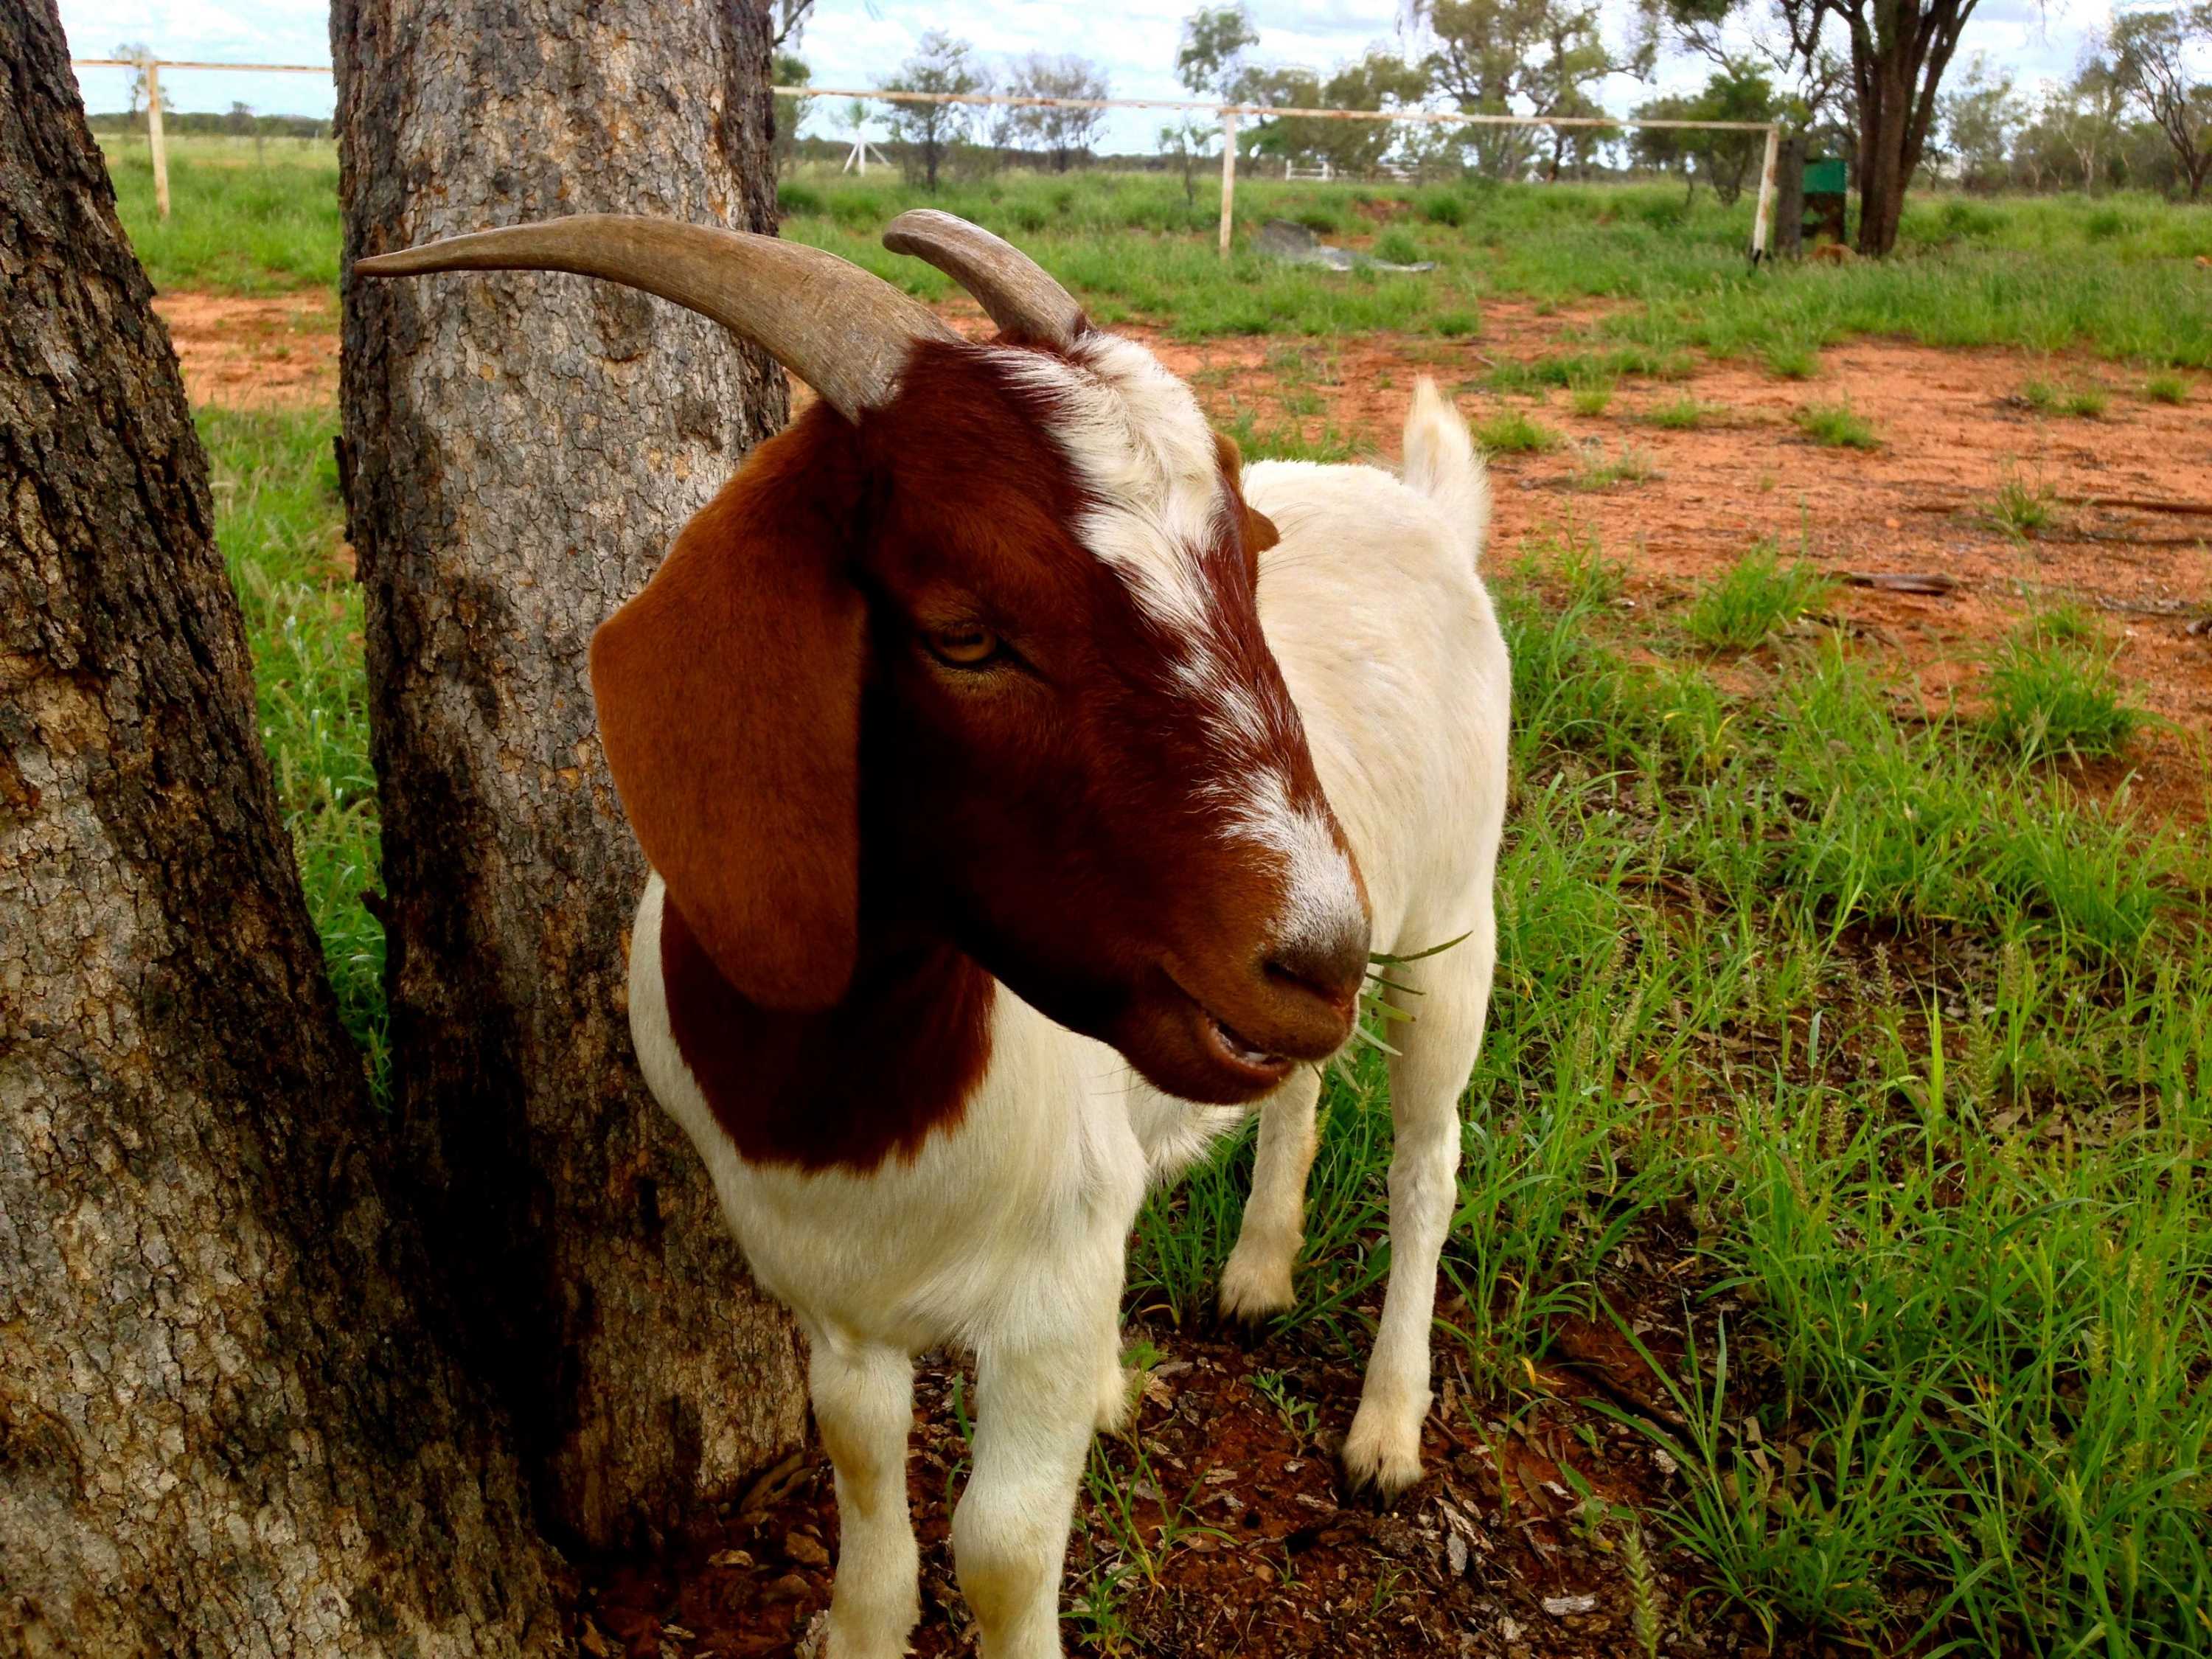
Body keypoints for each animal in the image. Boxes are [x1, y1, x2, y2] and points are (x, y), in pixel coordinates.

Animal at [358, 209, 1507, 1659]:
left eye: (1247, 570)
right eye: (965, 634)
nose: (1312, 956)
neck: (862, 1094)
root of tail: (1427, 511)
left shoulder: (1051, 1283)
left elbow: (1005, 1551)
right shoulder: (830, 1291)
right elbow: (860, 1458)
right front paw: (858, 1624)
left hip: (1454, 924)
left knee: (1430, 1157)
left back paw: (1386, 1428)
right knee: (1300, 1091)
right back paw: (1255, 1272)